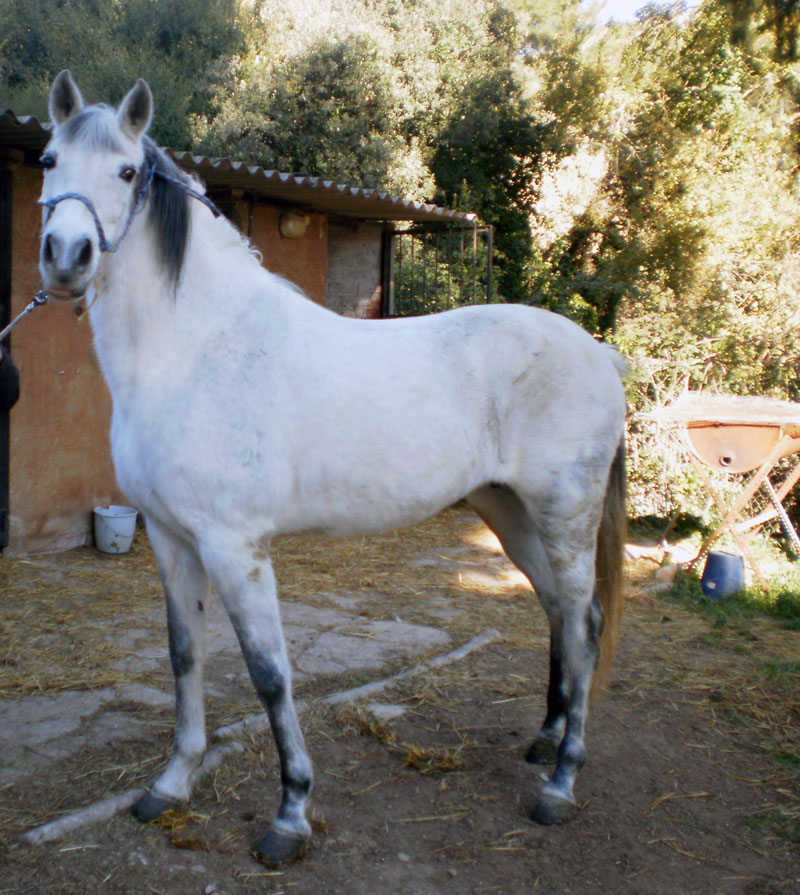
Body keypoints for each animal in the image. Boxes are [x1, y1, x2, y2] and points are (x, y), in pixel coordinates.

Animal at [37, 71, 628, 866]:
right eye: (48, 160)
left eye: (127, 173)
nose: (66, 257)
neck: (193, 350)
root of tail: (600, 353)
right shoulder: (170, 537)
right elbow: (185, 655)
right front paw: (172, 783)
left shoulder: (236, 548)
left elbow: (269, 674)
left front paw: (291, 813)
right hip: (507, 513)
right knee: (559, 615)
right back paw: (544, 742)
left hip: (565, 517)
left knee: (586, 622)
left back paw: (561, 784)